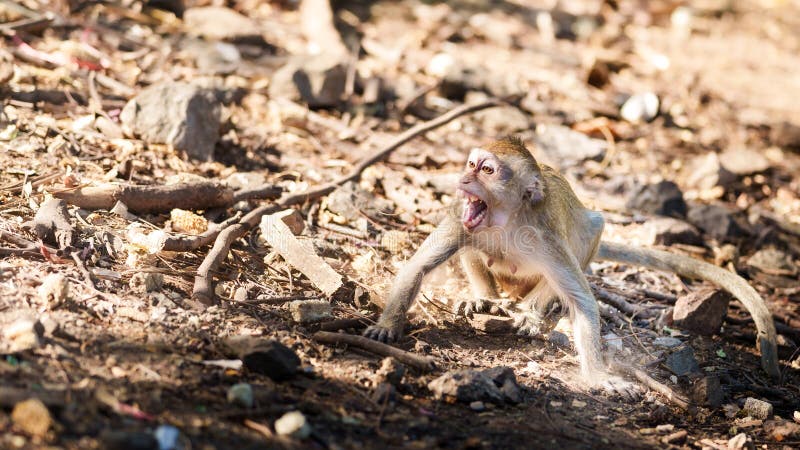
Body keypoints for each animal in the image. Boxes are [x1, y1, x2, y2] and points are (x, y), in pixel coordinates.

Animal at [364, 137, 780, 388]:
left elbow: (582, 299)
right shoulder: (459, 215)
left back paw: (533, 311)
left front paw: (596, 375)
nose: (464, 180)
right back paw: (485, 296)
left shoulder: (545, 235)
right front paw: (387, 325)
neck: (507, 219)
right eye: (470, 164)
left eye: (487, 170)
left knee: (588, 230)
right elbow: (417, 267)